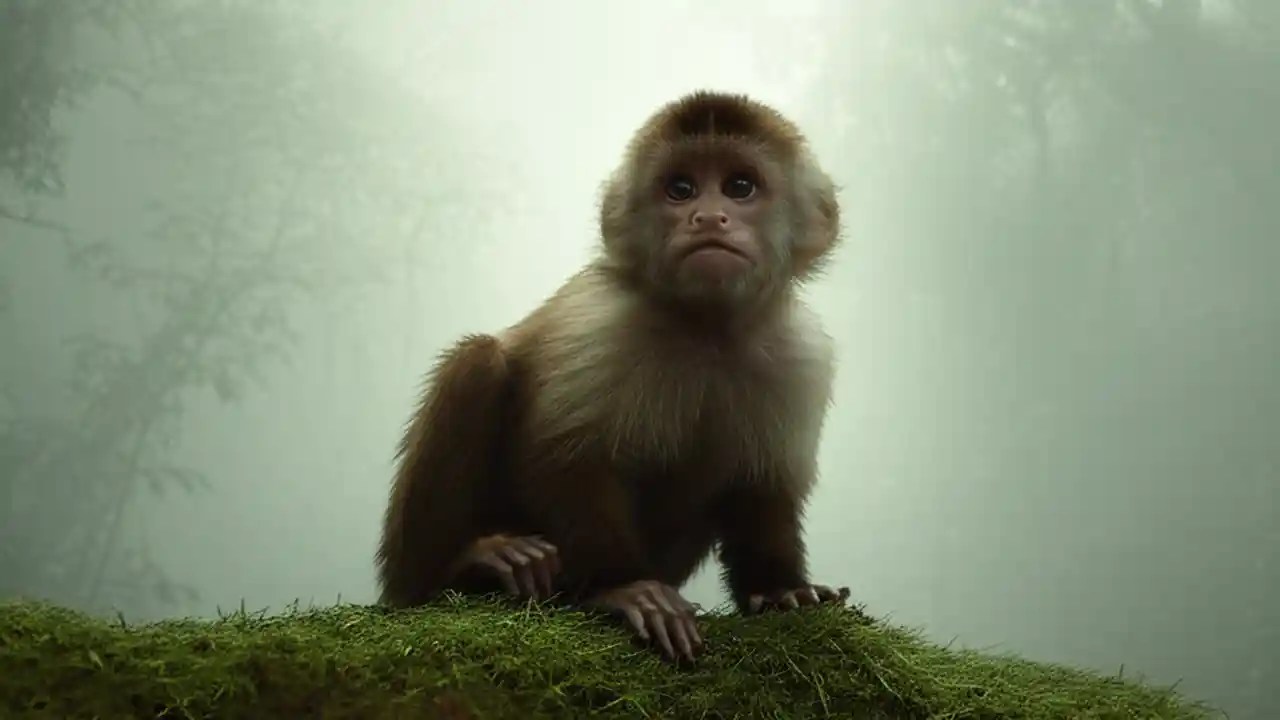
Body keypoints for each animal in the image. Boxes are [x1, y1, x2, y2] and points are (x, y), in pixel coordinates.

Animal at [376, 90, 850, 662]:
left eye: (740, 186)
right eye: (680, 189)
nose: (707, 217)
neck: (705, 327)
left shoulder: (797, 354)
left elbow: (764, 483)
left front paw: (779, 588)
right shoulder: (603, 322)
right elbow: (564, 456)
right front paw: (624, 588)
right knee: (479, 361)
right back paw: (459, 569)